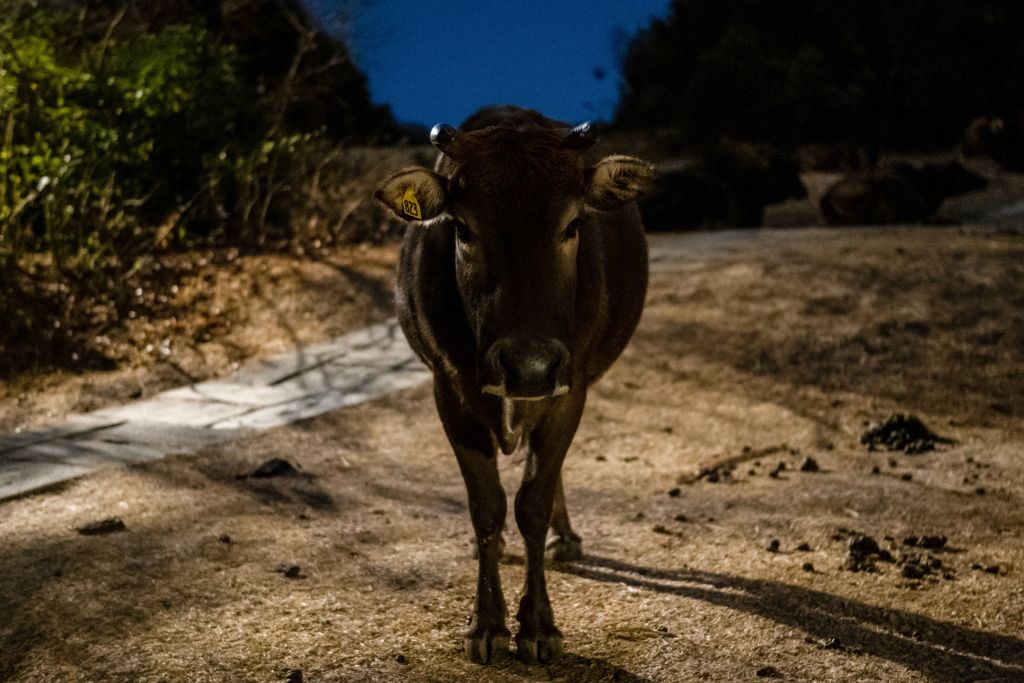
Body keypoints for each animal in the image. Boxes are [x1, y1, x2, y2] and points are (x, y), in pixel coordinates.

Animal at [374, 106, 654, 664]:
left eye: (573, 225)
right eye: (463, 228)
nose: (529, 366)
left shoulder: (571, 389)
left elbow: (533, 504)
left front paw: (538, 625)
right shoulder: (449, 390)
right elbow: (487, 507)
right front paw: (486, 623)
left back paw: (564, 538)